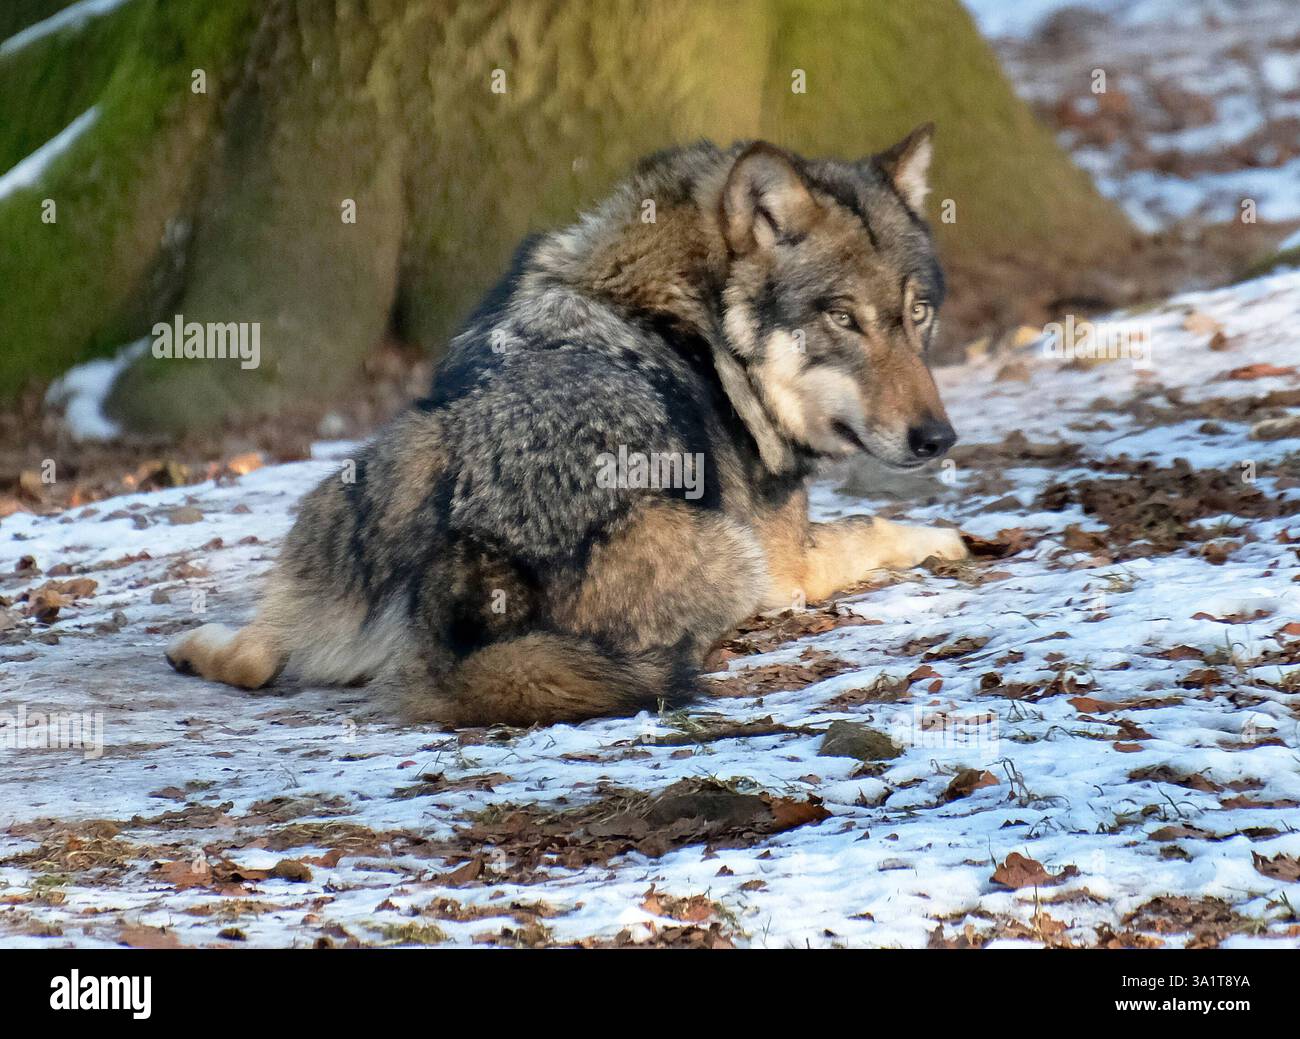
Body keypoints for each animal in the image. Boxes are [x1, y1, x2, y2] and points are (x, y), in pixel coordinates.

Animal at [166, 126, 968, 727]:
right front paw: (947, 537)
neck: (684, 311)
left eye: (917, 314)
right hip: (737, 557)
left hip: (361, 474)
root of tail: (474, 552)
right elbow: (872, 526)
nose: (939, 440)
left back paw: (197, 644)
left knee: (258, 656)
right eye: (844, 319)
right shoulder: (789, 557)